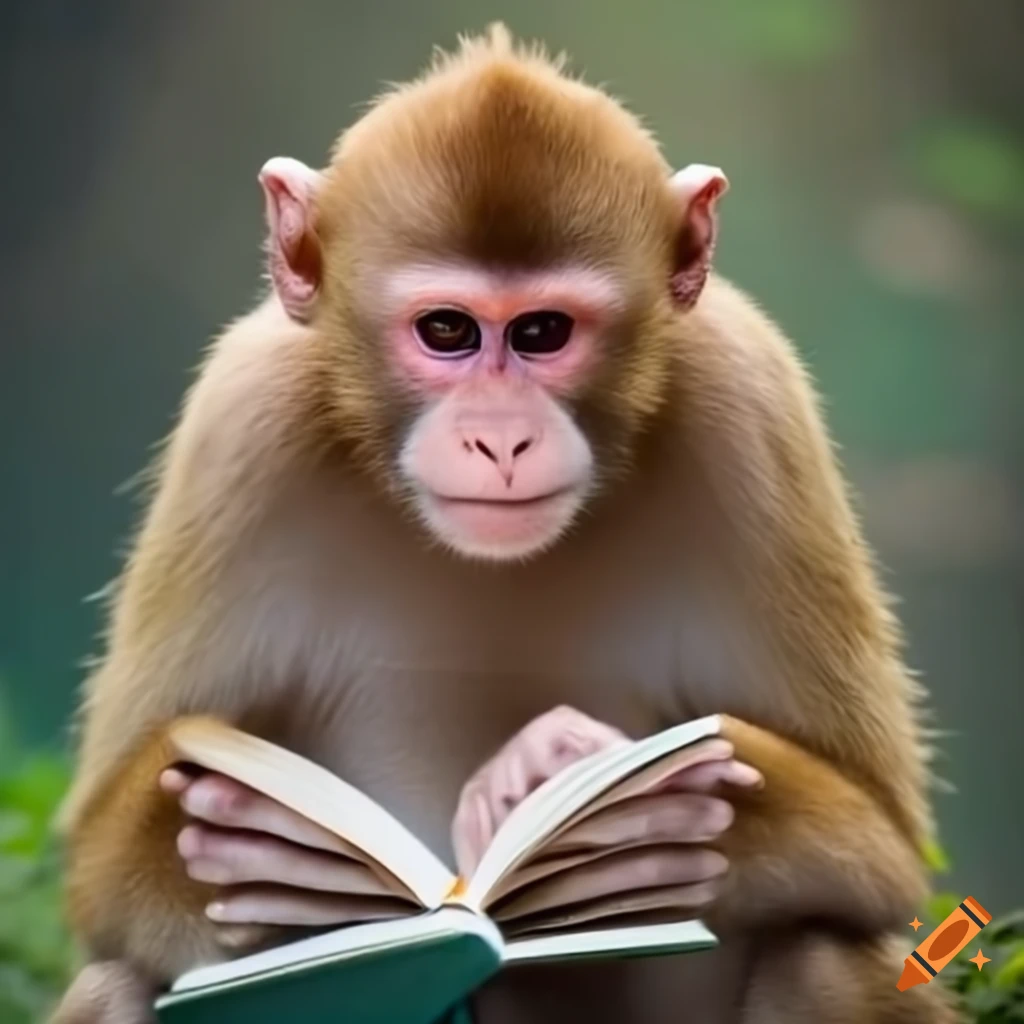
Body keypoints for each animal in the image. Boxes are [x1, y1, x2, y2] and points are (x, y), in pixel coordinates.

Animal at [50, 25, 959, 1024]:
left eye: (541, 333)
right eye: (447, 330)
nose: (500, 438)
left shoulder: (748, 396)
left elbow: (883, 847)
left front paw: (580, 777)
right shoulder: (242, 419)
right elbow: (98, 877)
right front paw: (258, 859)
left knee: (823, 949)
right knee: (115, 980)